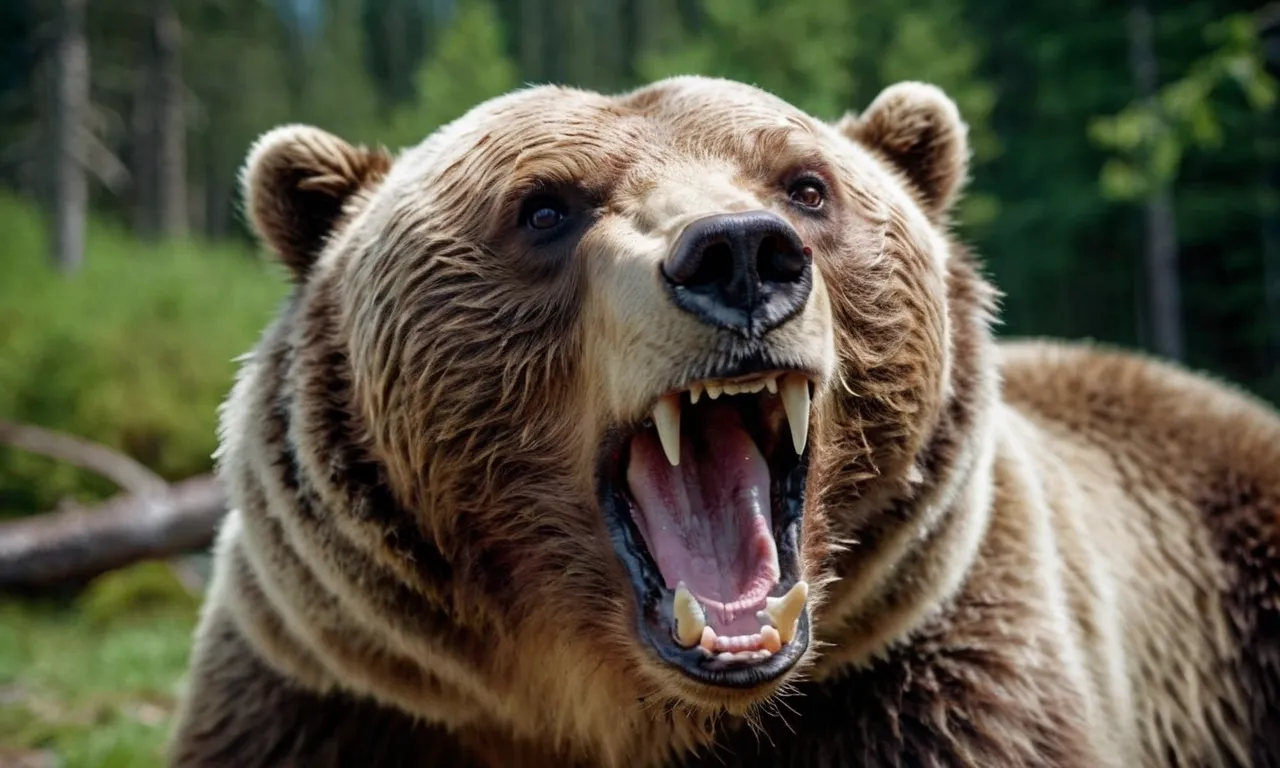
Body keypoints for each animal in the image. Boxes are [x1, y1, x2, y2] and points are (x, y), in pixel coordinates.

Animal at [167, 75, 1280, 768]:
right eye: (544, 206)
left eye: (806, 185)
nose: (740, 254)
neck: (622, 702)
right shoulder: (337, 698)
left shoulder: (926, 676)